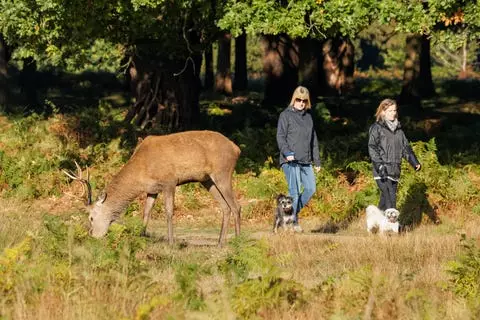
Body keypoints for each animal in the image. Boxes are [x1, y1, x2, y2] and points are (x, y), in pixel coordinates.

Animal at [64, 130, 240, 245]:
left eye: (91, 217)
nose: (93, 236)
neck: (142, 171)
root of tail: (236, 149)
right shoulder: (152, 189)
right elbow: (146, 212)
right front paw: (141, 236)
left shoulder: (169, 181)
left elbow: (169, 212)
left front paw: (171, 242)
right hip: (207, 180)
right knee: (225, 207)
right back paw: (220, 242)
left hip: (223, 173)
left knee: (236, 206)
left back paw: (238, 240)